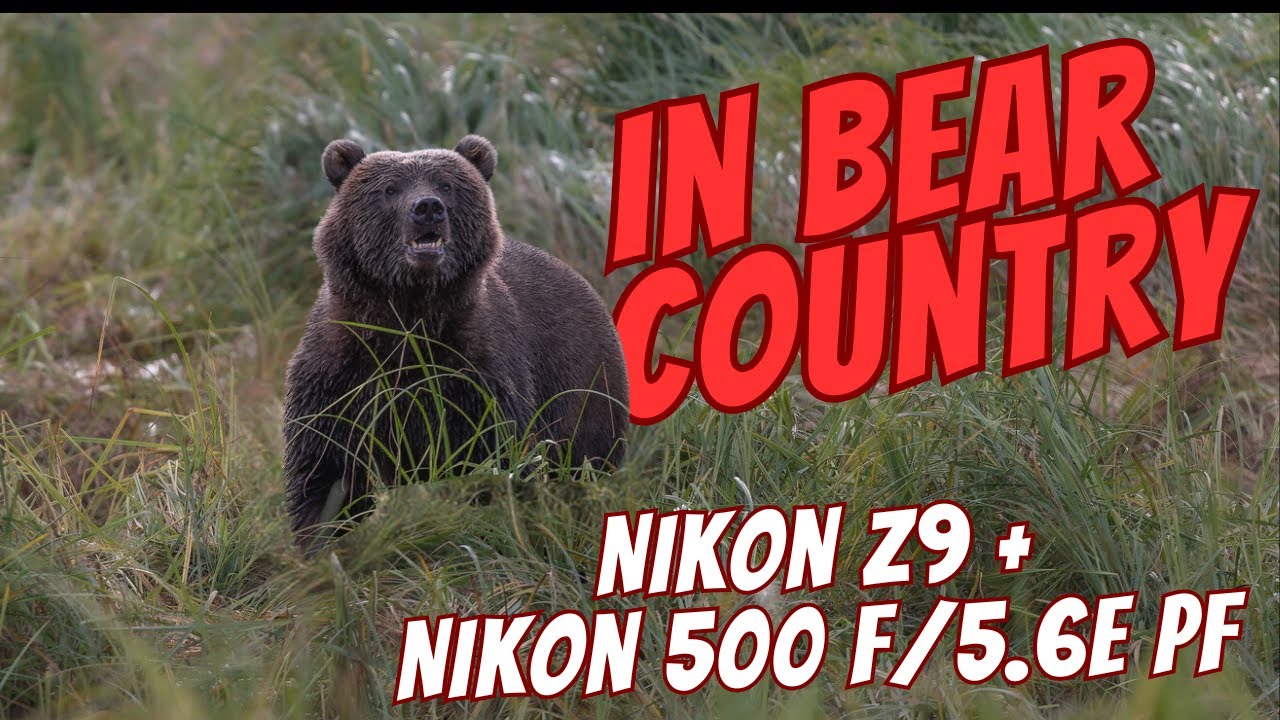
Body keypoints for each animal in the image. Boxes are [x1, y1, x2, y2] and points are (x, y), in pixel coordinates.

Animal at [282, 135, 629, 549]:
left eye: (446, 185)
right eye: (390, 189)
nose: (428, 208)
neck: (411, 314)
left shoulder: (478, 372)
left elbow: (493, 451)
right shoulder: (341, 374)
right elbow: (325, 463)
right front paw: (320, 538)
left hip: (584, 384)